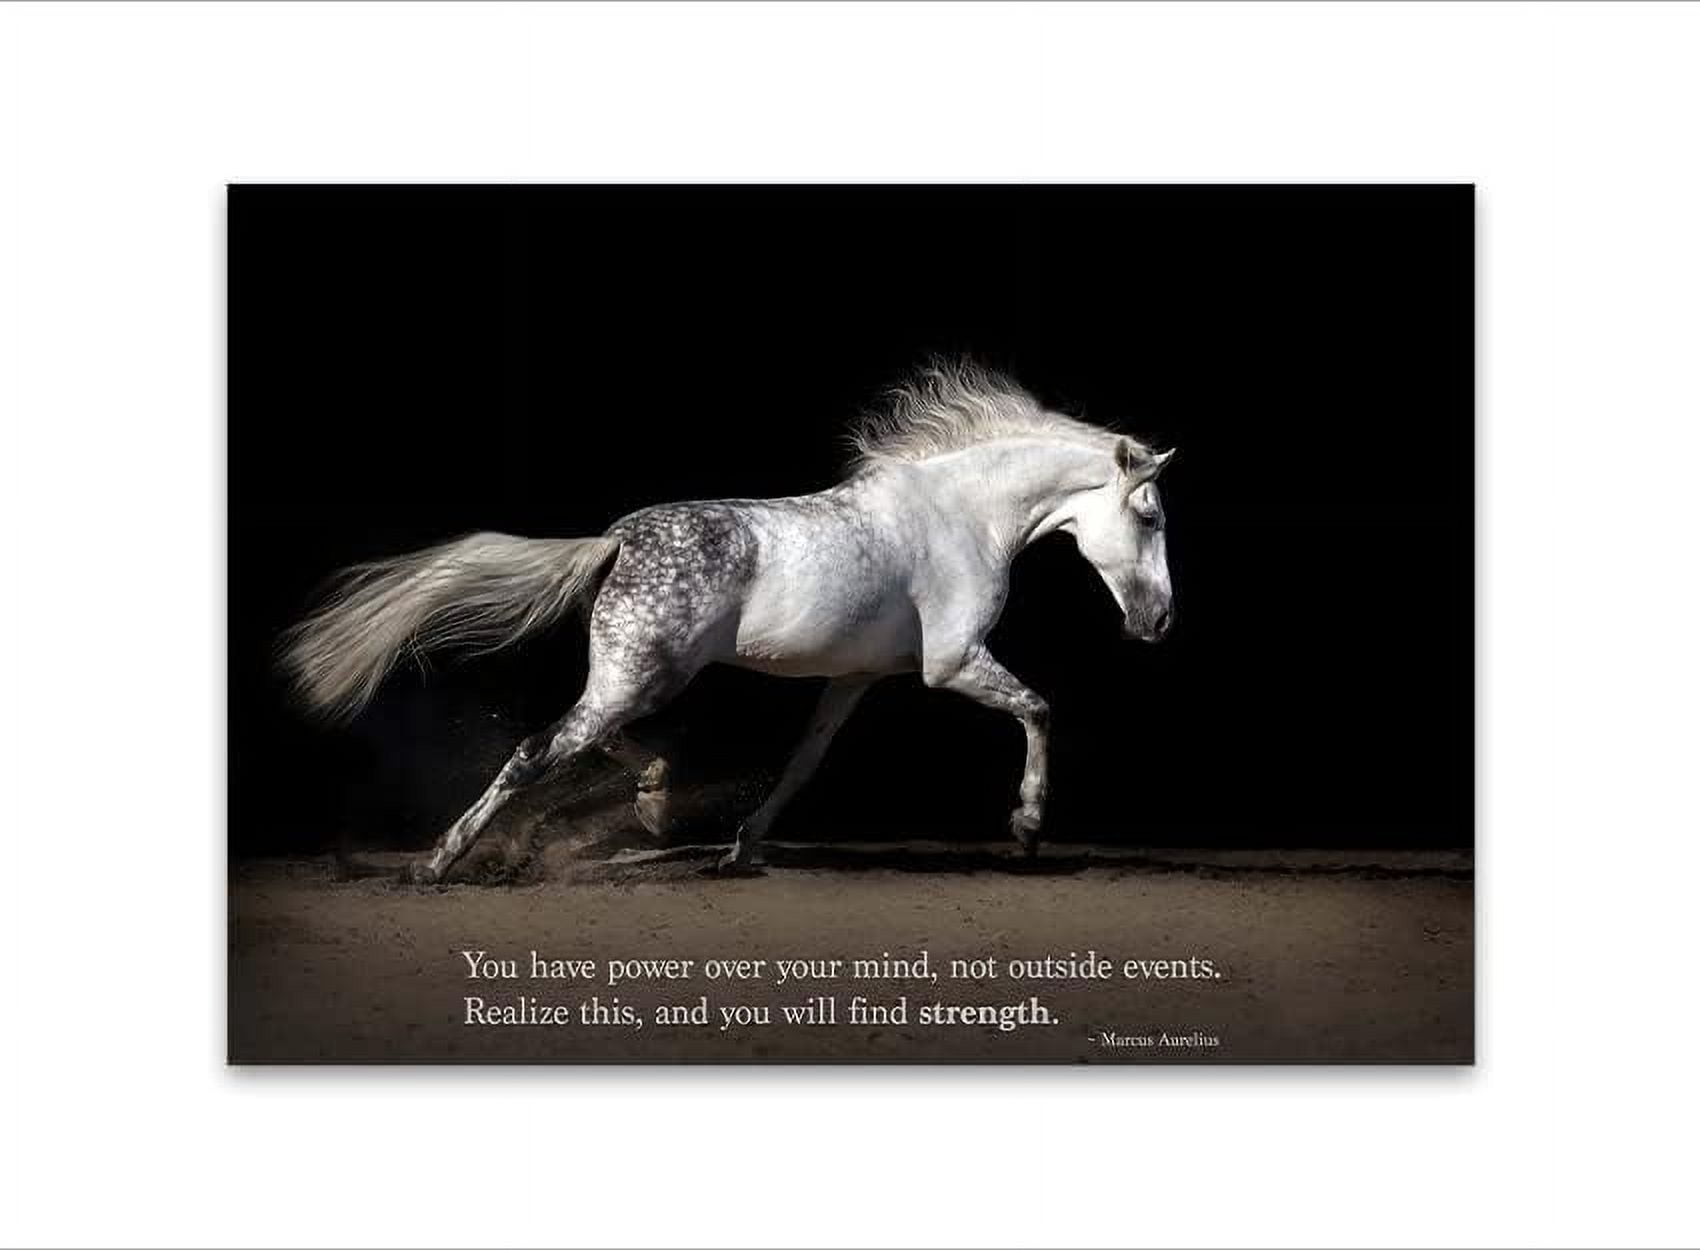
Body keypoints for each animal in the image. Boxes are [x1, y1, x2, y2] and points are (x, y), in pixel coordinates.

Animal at [281, 361, 1176, 881]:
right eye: (1152, 516)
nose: (1159, 621)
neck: (962, 515)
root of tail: (617, 539)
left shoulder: (853, 678)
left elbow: (804, 762)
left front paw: (743, 846)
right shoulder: (953, 662)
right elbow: (1039, 708)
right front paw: (1026, 826)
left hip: (638, 676)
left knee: (598, 738)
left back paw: (652, 799)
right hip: (641, 675)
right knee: (538, 750)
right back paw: (440, 861)